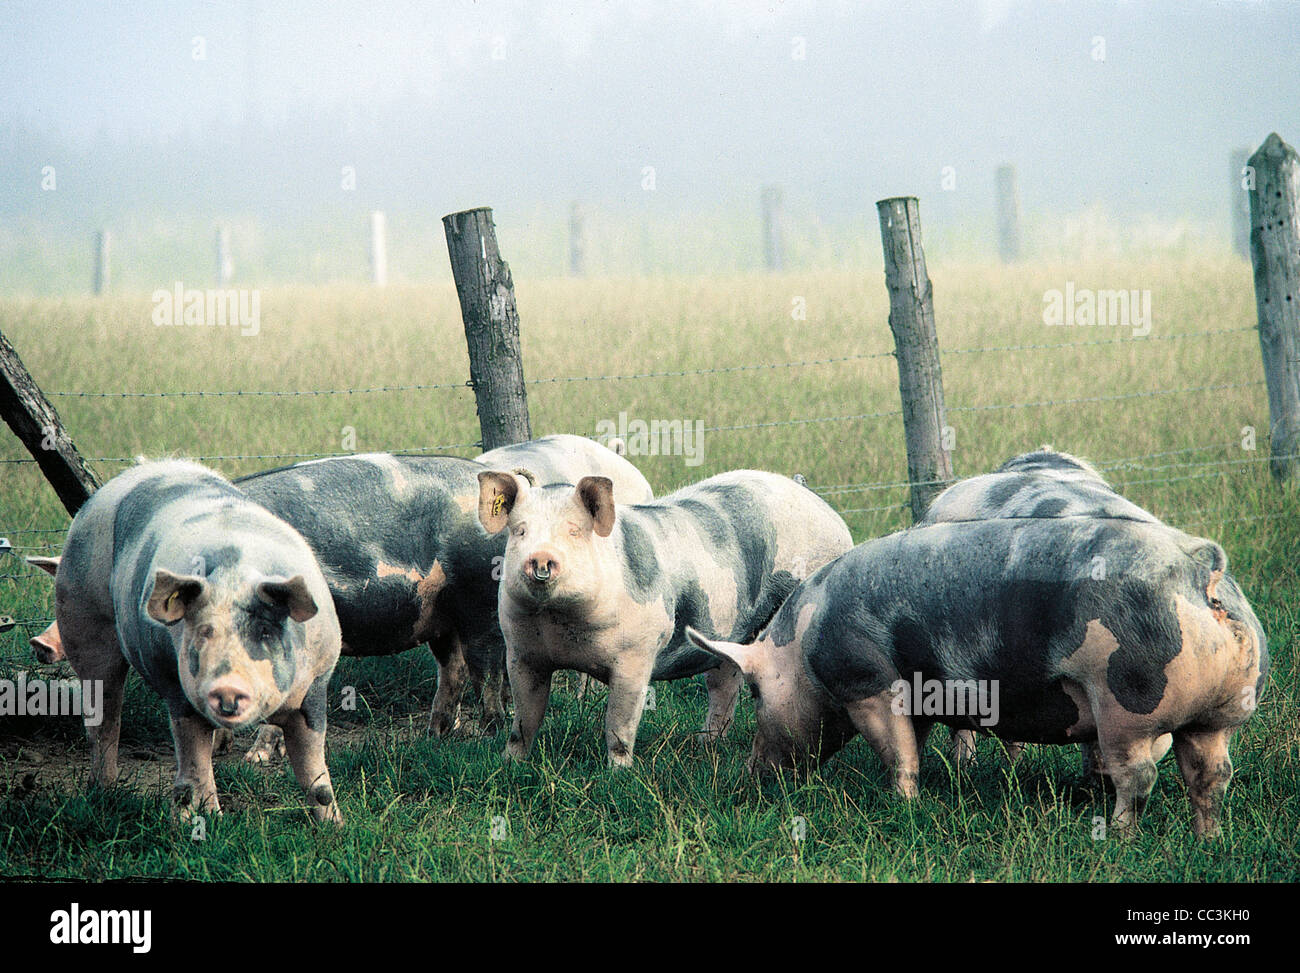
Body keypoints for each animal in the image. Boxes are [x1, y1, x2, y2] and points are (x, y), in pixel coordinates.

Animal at [47, 459, 343, 822]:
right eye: (204, 631)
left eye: (264, 631)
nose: (227, 685)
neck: (235, 572)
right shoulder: (179, 691)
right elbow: (194, 763)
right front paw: (205, 820)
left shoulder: (317, 682)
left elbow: (316, 775)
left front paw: (333, 826)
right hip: (81, 616)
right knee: (104, 718)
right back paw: (102, 793)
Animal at [234, 436, 653, 757]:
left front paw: (255, 759)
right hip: (440, 613)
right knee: (454, 670)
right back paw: (434, 736)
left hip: (477, 603)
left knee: (483, 671)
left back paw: (486, 734)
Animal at [478, 468, 853, 767]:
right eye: (520, 531)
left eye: (573, 531)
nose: (540, 559)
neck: (561, 623)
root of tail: (808, 494)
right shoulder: (521, 652)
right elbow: (524, 720)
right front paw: (509, 763)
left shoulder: (636, 653)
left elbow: (619, 722)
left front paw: (618, 772)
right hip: (731, 632)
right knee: (725, 682)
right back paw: (705, 743)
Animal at [686, 515, 1267, 838]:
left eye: (757, 691)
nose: (753, 772)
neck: (805, 647)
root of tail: (1198, 569)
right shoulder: (916, 697)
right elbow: (915, 744)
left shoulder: (869, 684)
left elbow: (897, 753)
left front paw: (902, 805)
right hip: (1217, 715)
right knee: (1212, 775)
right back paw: (1208, 840)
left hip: (1128, 702)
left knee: (1139, 776)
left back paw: (1117, 838)